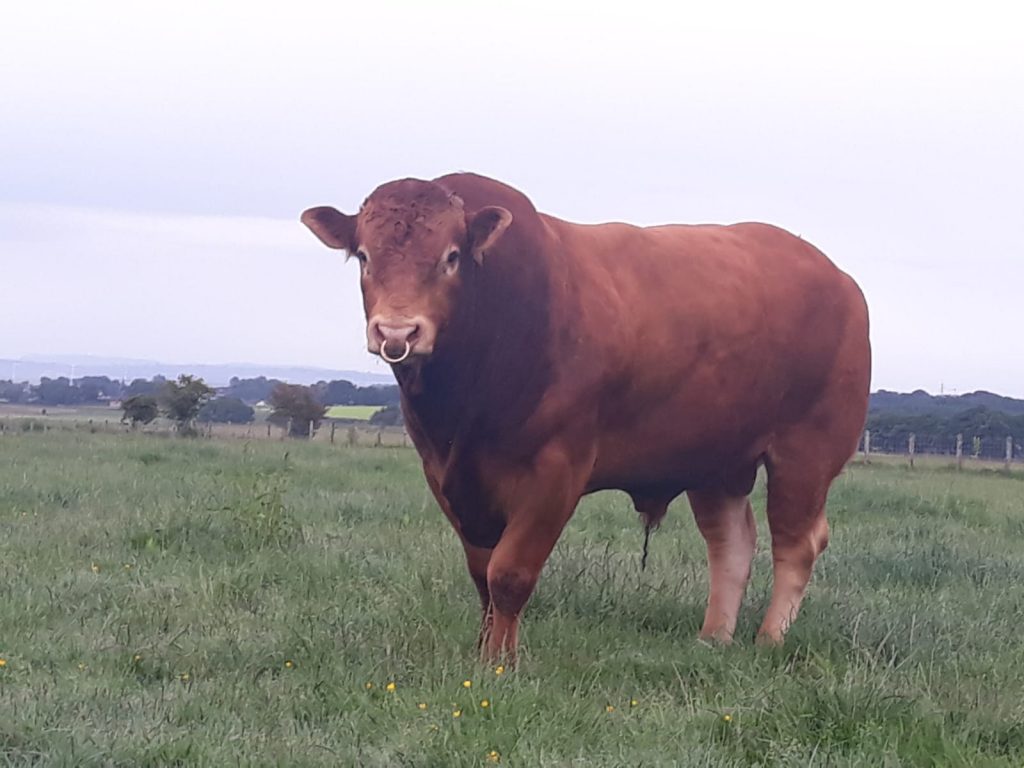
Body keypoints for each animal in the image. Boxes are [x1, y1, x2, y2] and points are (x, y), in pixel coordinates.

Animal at [302, 173, 871, 661]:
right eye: (363, 256)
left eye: (451, 256)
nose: (397, 331)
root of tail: (837, 276)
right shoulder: (446, 476)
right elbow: (481, 574)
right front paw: (485, 652)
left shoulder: (557, 471)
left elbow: (509, 573)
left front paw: (503, 663)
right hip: (716, 459)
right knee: (731, 542)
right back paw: (713, 639)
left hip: (806, 451)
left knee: (797, 543)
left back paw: (769, 640)